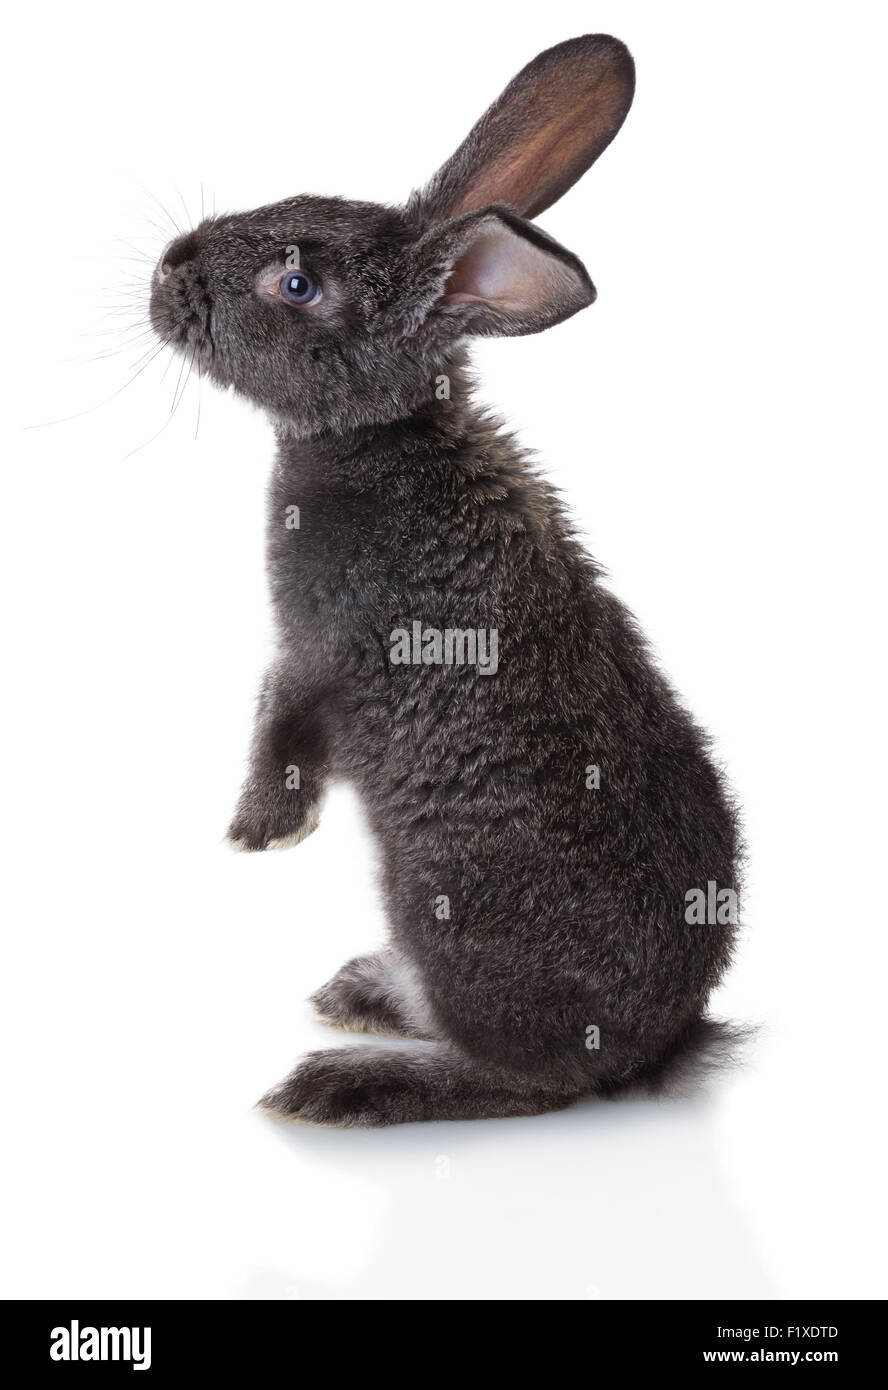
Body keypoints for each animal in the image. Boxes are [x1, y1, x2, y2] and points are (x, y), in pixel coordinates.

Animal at [149, 33, 742, 1126]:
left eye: (296, 287)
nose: (169, 267)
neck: (383, 434)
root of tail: (653, 1047)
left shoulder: (319, 648)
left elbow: (281, 716)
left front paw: (259, 834)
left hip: (444, 906)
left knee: (526, 1082)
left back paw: (343, 1082)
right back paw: (364, 995)